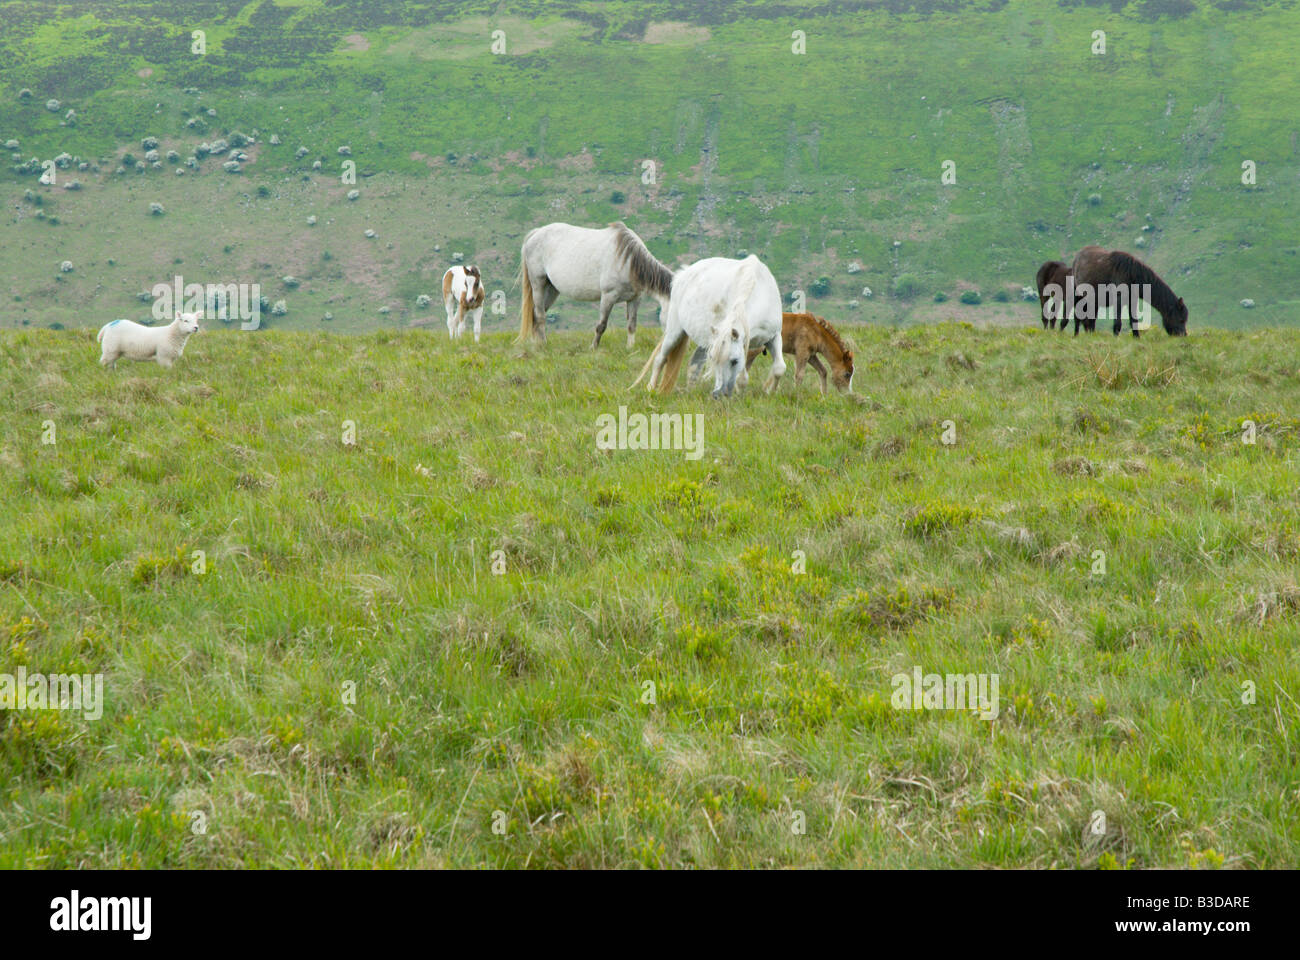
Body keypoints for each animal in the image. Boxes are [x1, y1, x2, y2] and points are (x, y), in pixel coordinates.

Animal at [516, 221, 673, 348]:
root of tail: (536, 233)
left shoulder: (634, 299)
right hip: (538, 284)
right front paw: (594, 347)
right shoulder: (608, 297)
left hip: (552, 289)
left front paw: (630, 348)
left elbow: (631, 325)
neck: (628, 261)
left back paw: (536, 342)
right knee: (540, 315)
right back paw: (543, 343)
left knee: (536, 314)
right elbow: (601, 325)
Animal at [632, 255, 784, 398]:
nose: (718, 394)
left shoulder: (774, 337)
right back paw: (650, 388)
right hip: (674, 333)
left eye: (734, 361)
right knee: (660, 359)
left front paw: (771, 393)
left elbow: (779, 368)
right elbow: (742, 378)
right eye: (713, 360)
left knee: (693, 366)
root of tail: (682, 274)